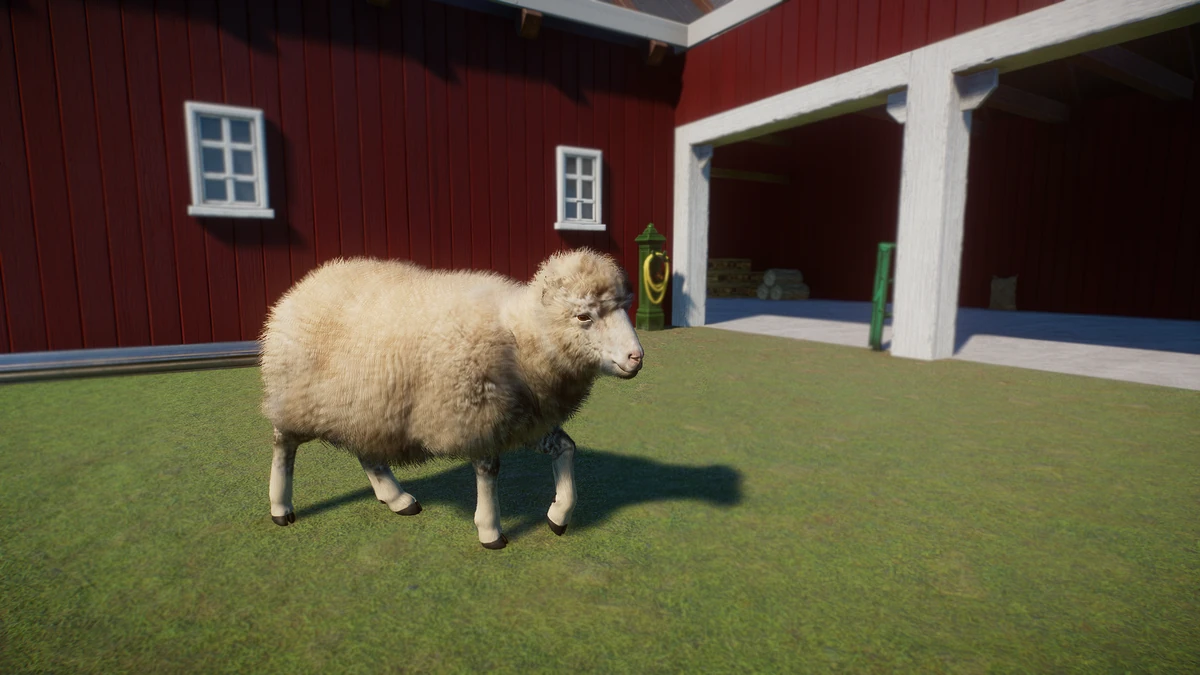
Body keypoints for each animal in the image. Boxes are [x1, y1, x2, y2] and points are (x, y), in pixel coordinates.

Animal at [258, 248, 645, 549]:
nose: (636, 358)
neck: (521, 336)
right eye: (583, 316)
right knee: (282, 445)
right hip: (298, 398)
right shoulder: (478, 416)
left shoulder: (524, 420)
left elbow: (567, 448)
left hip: (367, 406)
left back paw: (397, 498)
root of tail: (304, 285)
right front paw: (490, 530)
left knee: (367, 453)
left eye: (624, 308)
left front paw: (559, 514)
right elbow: (489, 470)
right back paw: (280, 508)